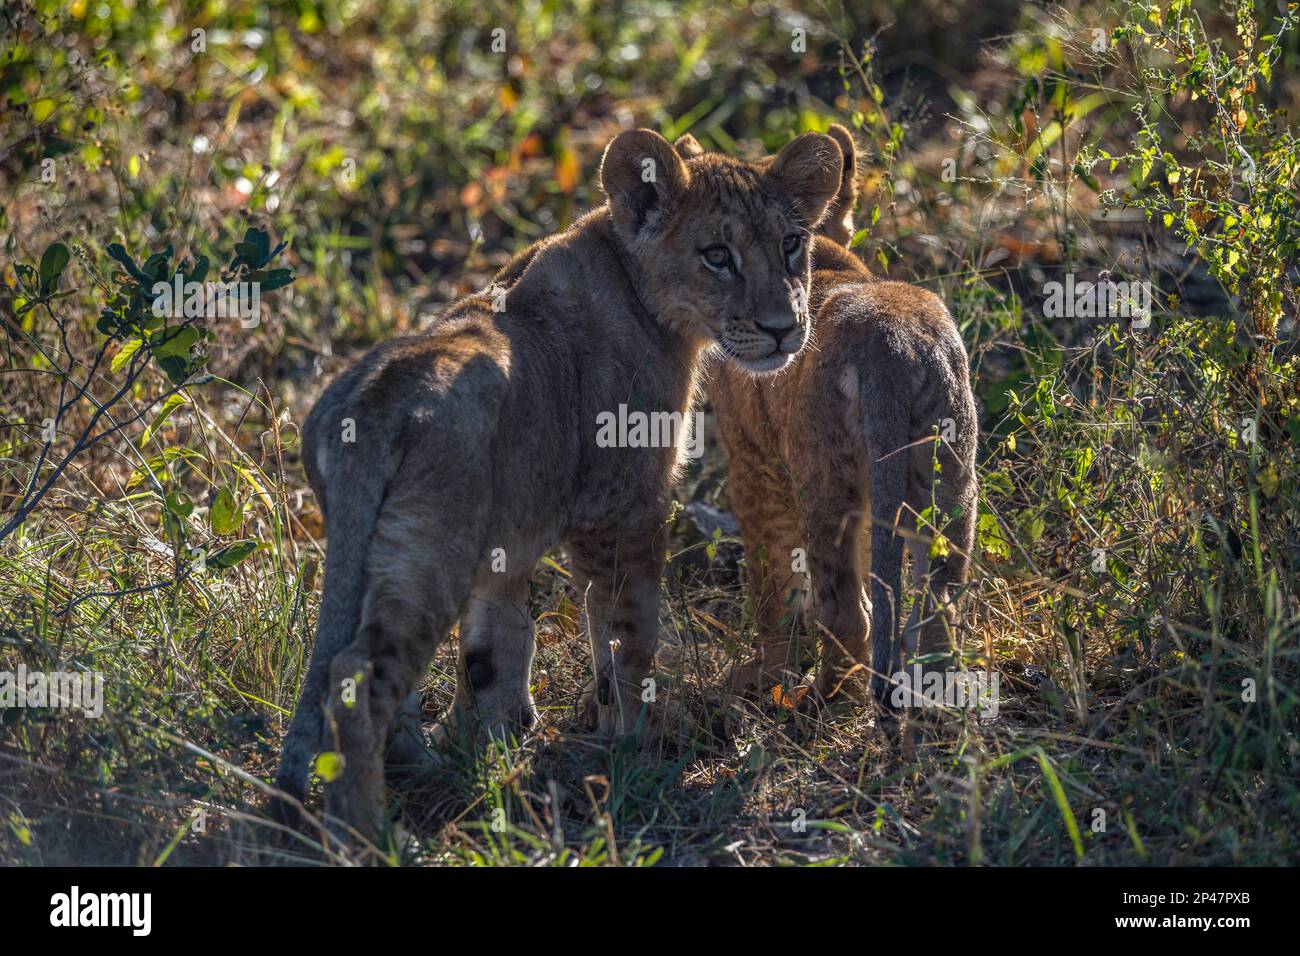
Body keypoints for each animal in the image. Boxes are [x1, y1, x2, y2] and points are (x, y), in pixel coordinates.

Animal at [273, 127, 845, 847]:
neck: (640, 289)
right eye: (718, 255)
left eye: (791, 244)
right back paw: (368, 835)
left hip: (378, 552)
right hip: (431, 554)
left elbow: (497, 647)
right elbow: (626, 634)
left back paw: (414, 774)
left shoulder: (509, 545)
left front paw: (488, 754)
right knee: (355, 676)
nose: (782, 328)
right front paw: (631, 748)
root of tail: (371, 403)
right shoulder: (621, 509)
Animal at [678, 126, 979, 711]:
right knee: (937, 606)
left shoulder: (754, 462)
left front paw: (765, 674)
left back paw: (819, 701)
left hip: (824, 483)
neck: (832, 258)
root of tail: (892, 348)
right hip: (950, 478)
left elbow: (771, 582)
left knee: (844, 610)